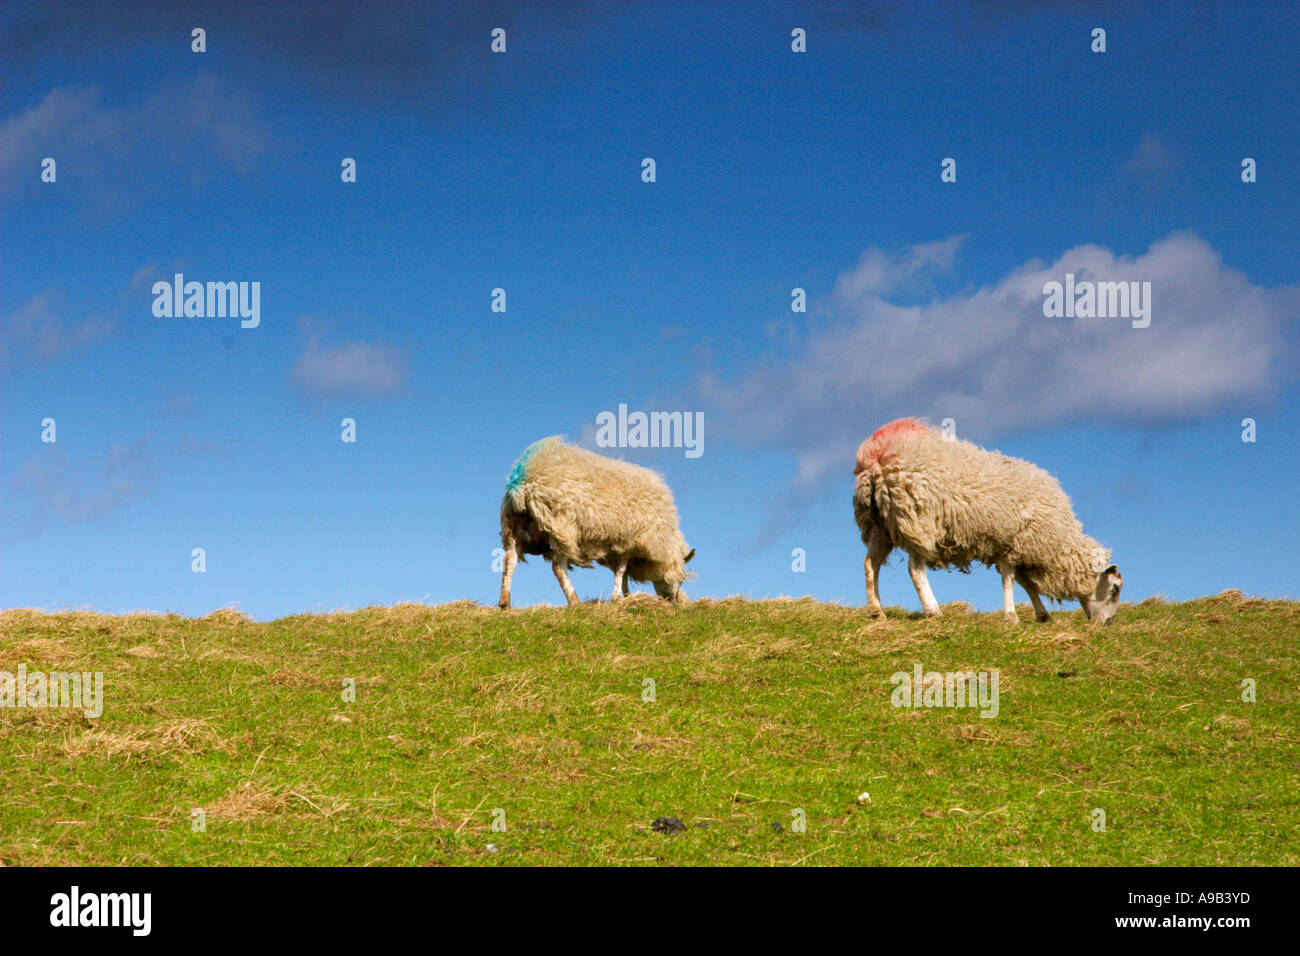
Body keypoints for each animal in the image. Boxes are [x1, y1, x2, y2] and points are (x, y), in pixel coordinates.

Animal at [497, 436, 695, 609]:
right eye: (681, 579)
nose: (672, 601)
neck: (665, 542)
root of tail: (522, 483)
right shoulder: (628, 542)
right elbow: (621, 572)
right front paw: (618, 597)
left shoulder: (618, 547)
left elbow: (622, 574)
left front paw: (627, 596)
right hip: (562, 527)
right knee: (558, 567)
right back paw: (574, 601)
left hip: (514, 527)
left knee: (510, 560)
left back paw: (505, 603)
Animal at [852, 418, 1123, 624]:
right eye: (1114, 590)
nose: (1108, 624)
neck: (1059, 543)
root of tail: (878, 459)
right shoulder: (1015, 542)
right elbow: (1010, 579)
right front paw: (1012, 616)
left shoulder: (1013, 547)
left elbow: (1026, 583)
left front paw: (1042, 615)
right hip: (918, 519)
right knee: (915, 568)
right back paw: (932, 609)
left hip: (879, 524)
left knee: (870, 563)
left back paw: (877, 611)